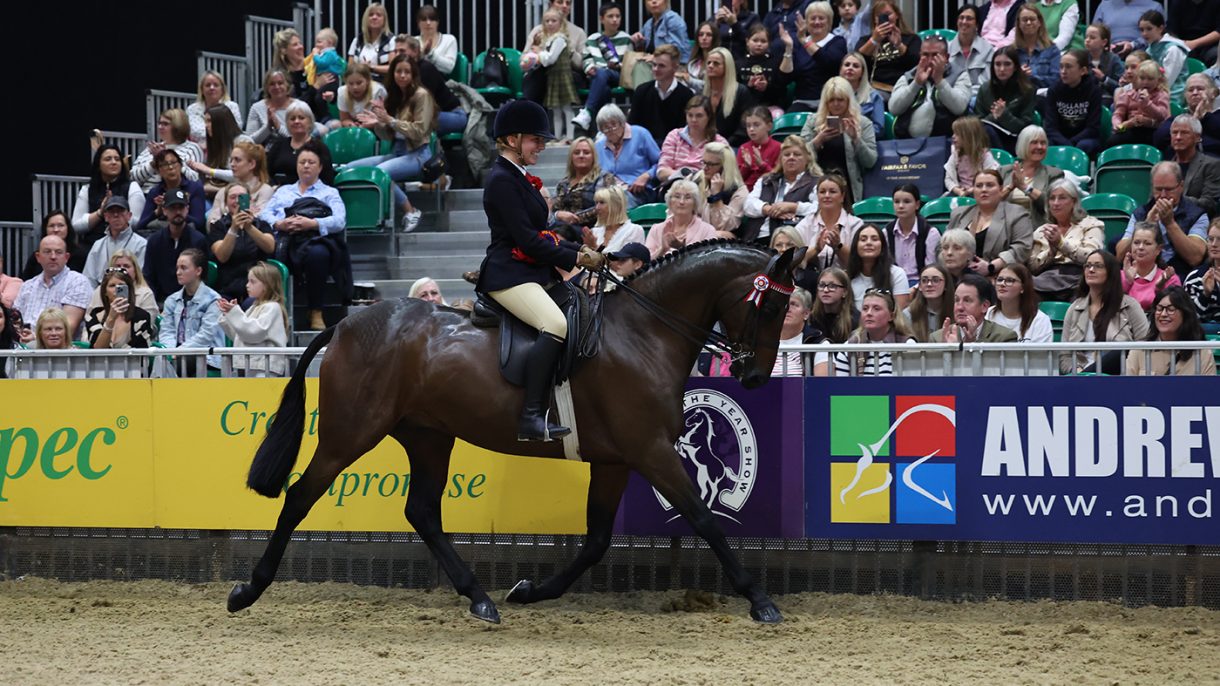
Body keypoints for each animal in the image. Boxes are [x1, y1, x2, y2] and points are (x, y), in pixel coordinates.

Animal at [227, 240, 807, 624]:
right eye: (774, 304)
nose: (755, 376)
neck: (642, 334)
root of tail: (345, 323)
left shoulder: (616, 460)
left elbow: (597, 541)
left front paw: (529, 591)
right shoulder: (651, 450)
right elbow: (705, 520)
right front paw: (761, 601)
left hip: (428, 436)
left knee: (423, 512)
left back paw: (480, 598)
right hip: (351, 432)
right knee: (301, 496)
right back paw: (247, 591)